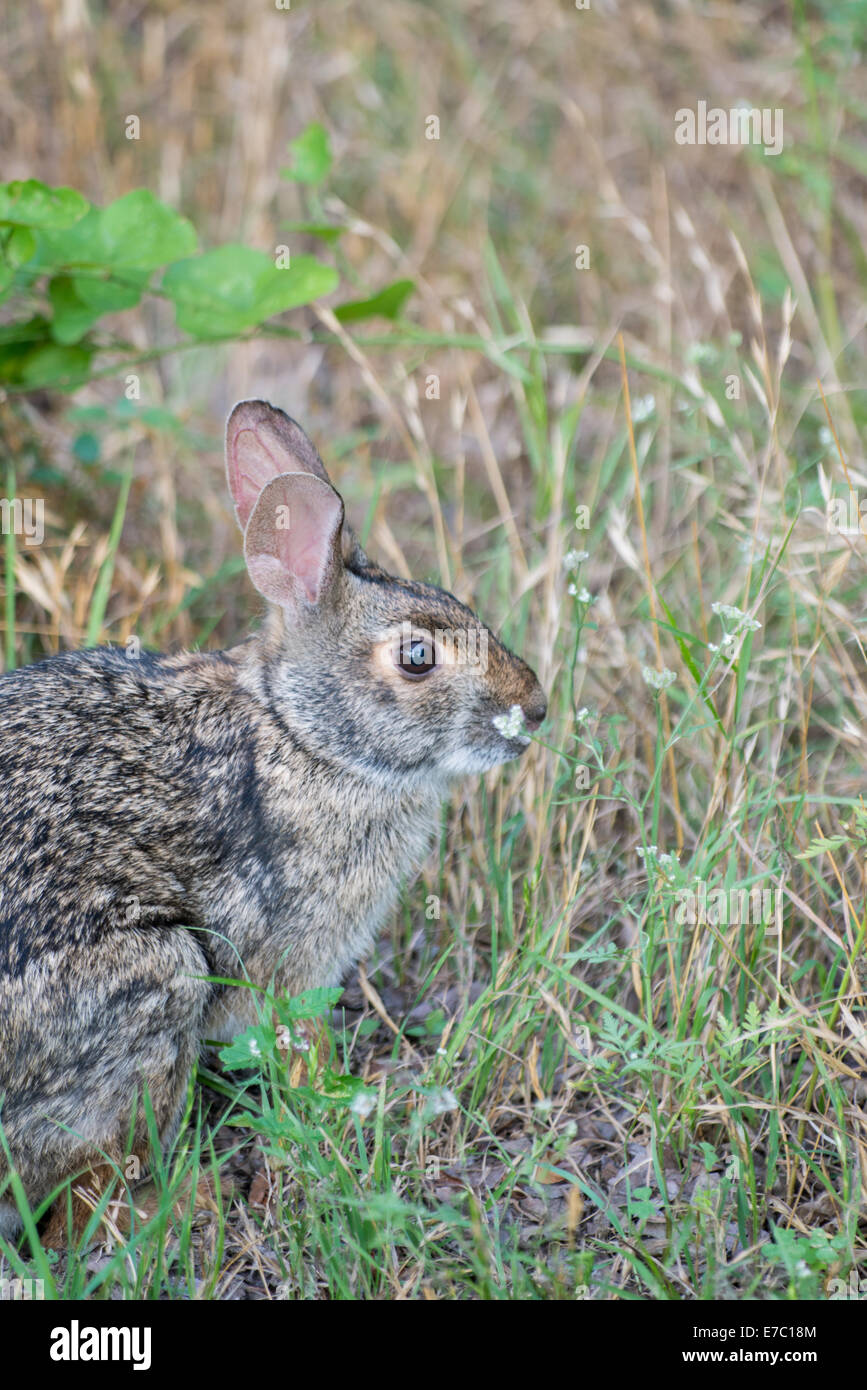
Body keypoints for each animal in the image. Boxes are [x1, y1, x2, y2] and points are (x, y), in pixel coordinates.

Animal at [0, 399, 546, 1241]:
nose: (536, 708)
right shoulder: (287, 959)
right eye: (417, 658)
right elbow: (295, 1039)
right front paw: (338, 1101)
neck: (301, 732)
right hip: (156, 978)